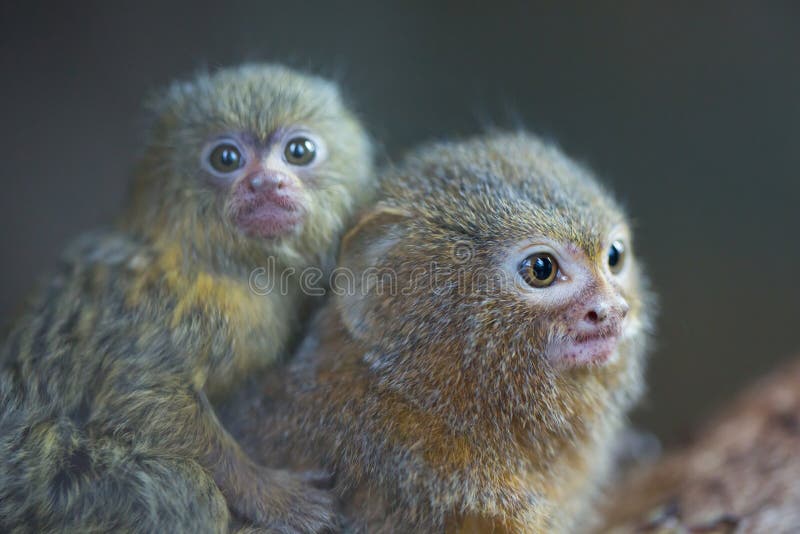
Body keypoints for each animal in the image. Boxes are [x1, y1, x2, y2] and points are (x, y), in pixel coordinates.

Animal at [0, 64, 374, 533]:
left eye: (299, 151)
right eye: (226, 158)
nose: (266, 183)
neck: (225, 268)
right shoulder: (160, 306)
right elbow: (139, 395)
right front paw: (270, 495)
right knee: (188, 493)